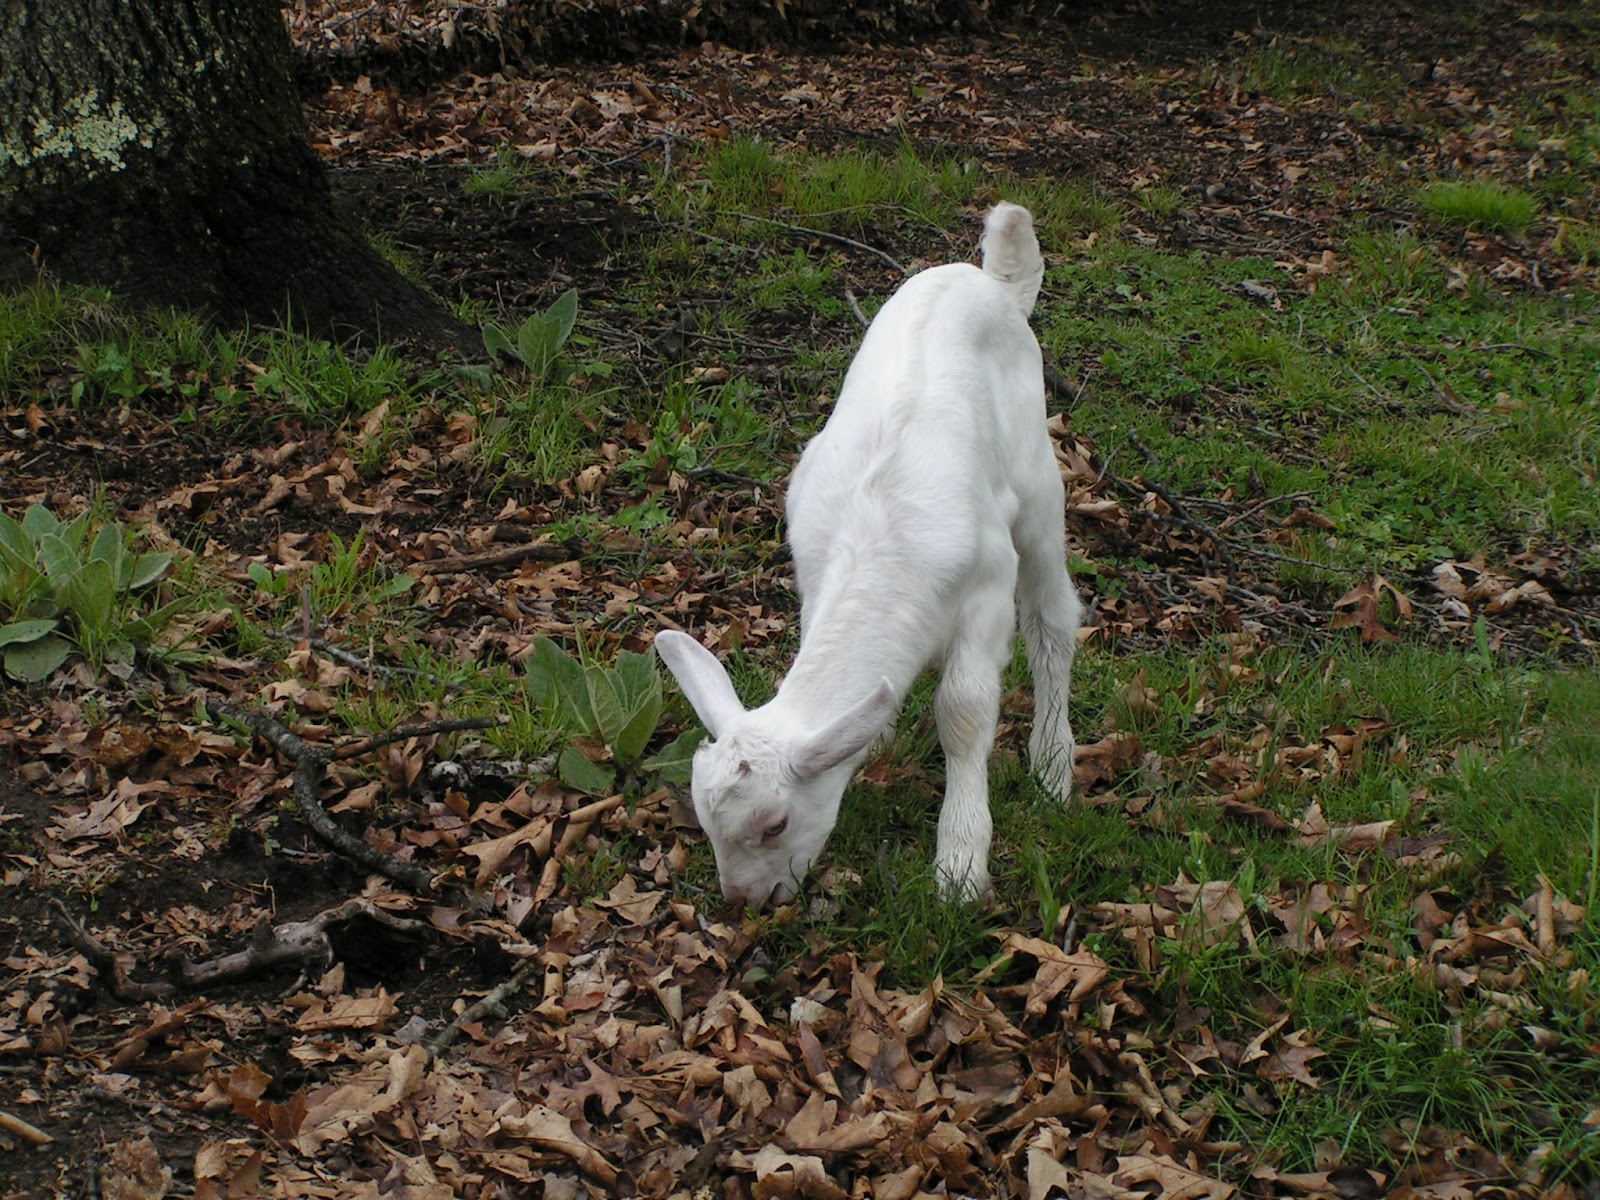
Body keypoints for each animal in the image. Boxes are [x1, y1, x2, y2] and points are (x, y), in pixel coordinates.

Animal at [655, 202, 1081, 906]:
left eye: (775, 825)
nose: (743, 903)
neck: (880, 549)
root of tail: (991, 281)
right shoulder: (810, 571)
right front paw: (871, 734)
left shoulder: (987, 589)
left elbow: (964, 710)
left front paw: (960, 863)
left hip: (1040, 483)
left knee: (1053, 619)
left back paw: (1053, 763)